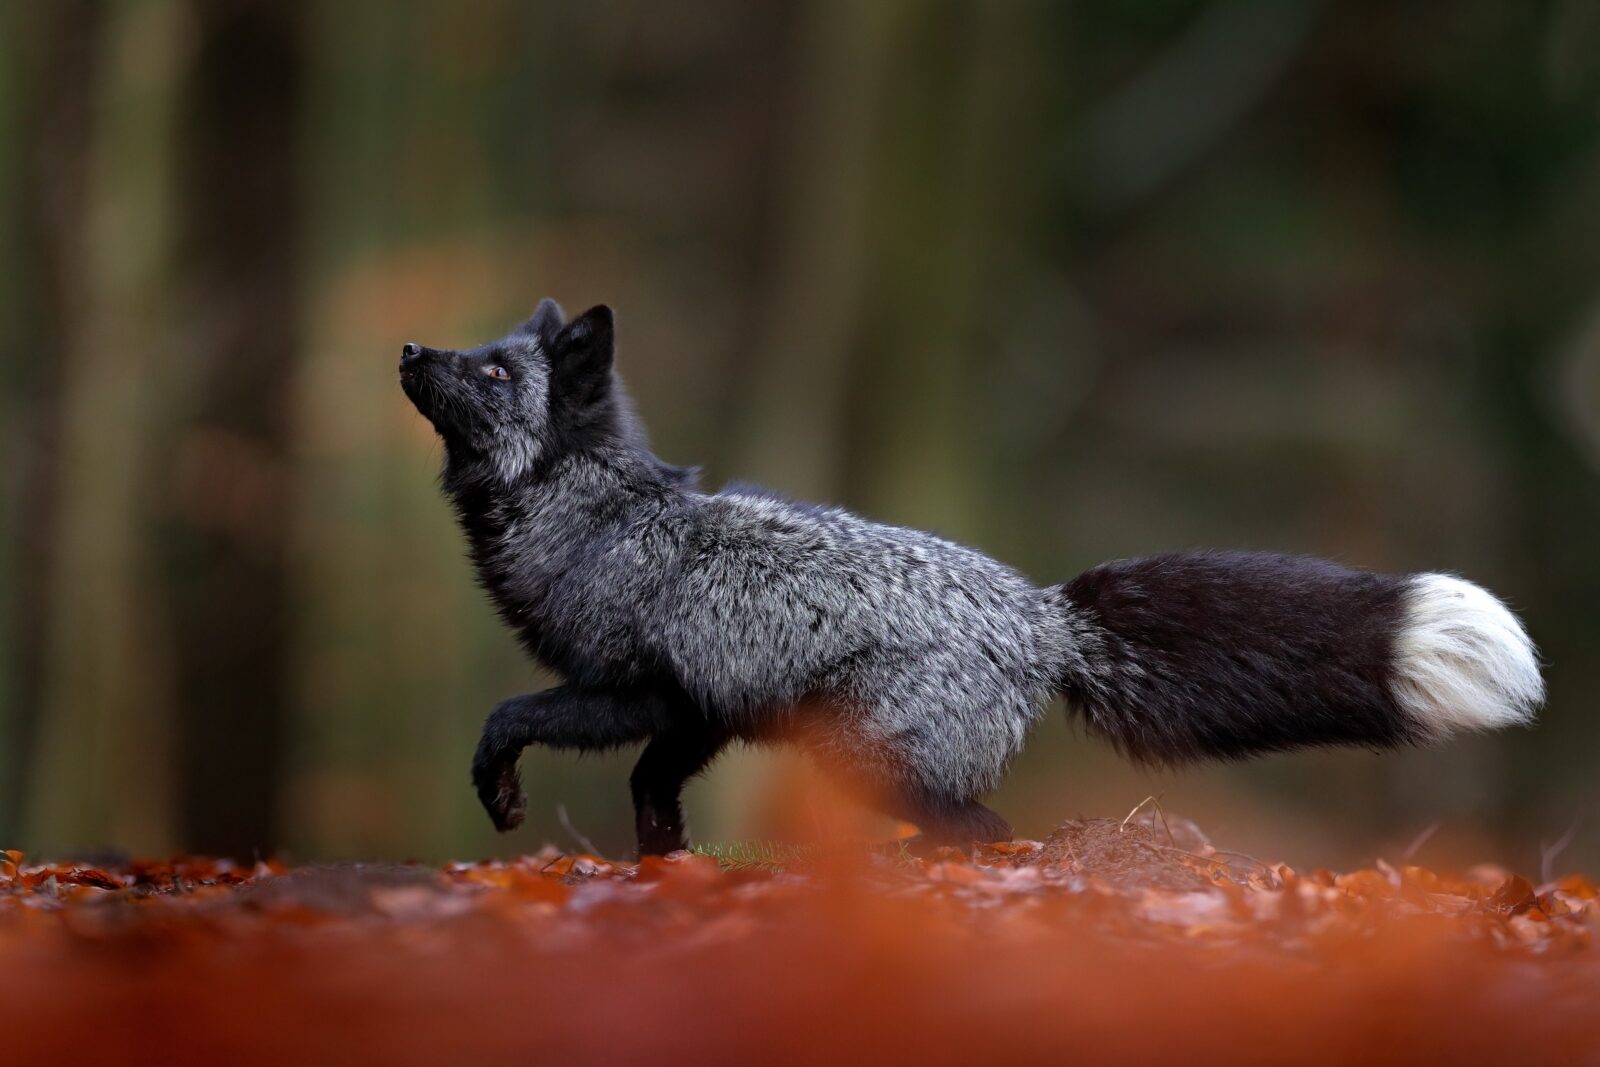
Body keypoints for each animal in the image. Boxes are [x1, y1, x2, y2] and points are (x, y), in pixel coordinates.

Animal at [399, 299, 1544, 856]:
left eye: (494, 371)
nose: (410, 350)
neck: (598, 519)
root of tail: (1045, 617)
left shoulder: (627, 685)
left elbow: (510, 715)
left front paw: (497, 789)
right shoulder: (700, 708)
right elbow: (651, 798)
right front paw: (662, 874)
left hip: (871, 762)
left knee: (990, 833)